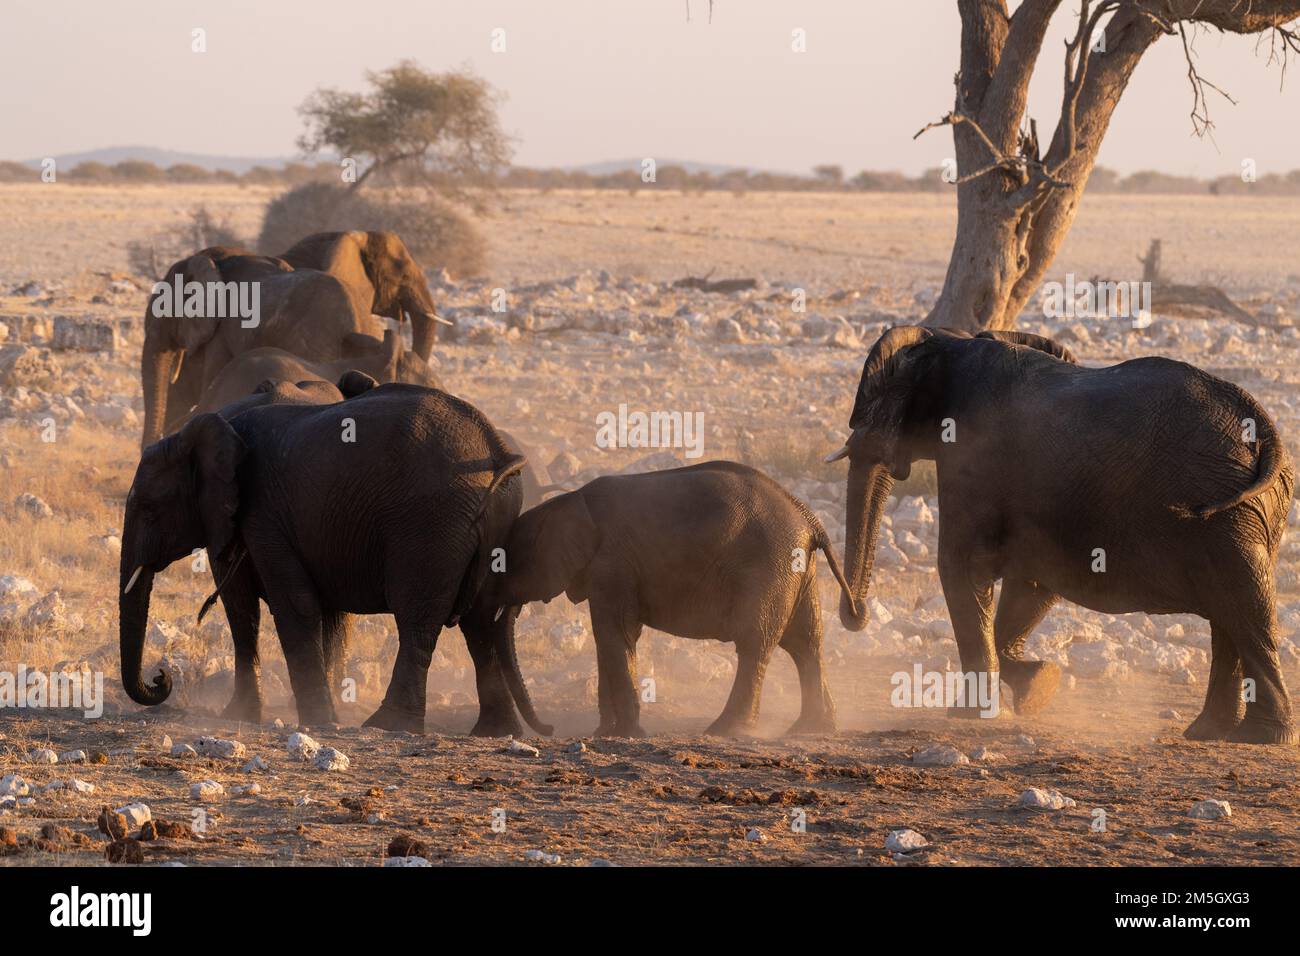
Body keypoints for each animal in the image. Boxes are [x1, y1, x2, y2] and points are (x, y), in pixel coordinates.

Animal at [119, 382, 551, 737]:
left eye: (148, 507)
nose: (161, 677)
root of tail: (496, 451)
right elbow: (291, 611)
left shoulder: (261, 512)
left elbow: (282, 606)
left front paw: (311, 720)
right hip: (489, 522)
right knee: (481, 622)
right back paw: (494, 732)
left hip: (431, 525)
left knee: (417, 618)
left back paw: (387, 726)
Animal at [485, 461, 856, 737]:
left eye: (505, 563)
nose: (548, 729)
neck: (567, 501)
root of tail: (809, 518)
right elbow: (610, 638)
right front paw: (605, 734)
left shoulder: (612, 564)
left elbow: (615, 634)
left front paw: (628, 735)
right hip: (797, 568)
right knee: (806, 642)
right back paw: (810, 729)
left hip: (769, 565)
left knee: (756, 643)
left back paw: (725, 731)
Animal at [826, 325, 1296, 744]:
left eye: (867, 408)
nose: (857, 613)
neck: (949, 341)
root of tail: (1265, 428)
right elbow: (1033, 584)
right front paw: (1039, 687)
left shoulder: (972, 452)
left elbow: (962, 568)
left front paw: (970, 713)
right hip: (1248, 511)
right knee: (1231, 613)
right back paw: (1208, 732)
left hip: (1227, 514)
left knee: (1242, 608)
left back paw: (1261, 737)